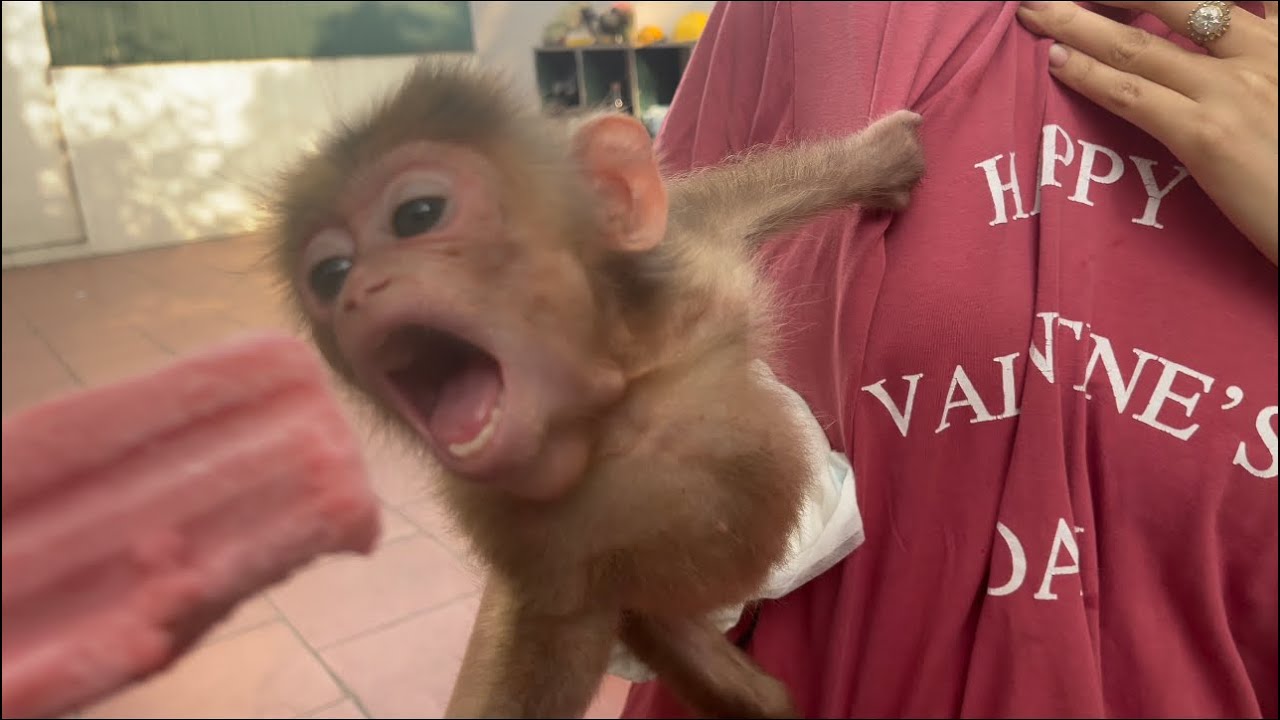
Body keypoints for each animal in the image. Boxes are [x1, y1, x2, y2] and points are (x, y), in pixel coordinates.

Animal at [271, 60, 925, 719]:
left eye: (419, 214)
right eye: (329, 274)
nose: (356, 293)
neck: (614, 410)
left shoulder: (699, 276)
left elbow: (717, 206)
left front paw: (877, 160)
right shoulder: (516, 533)